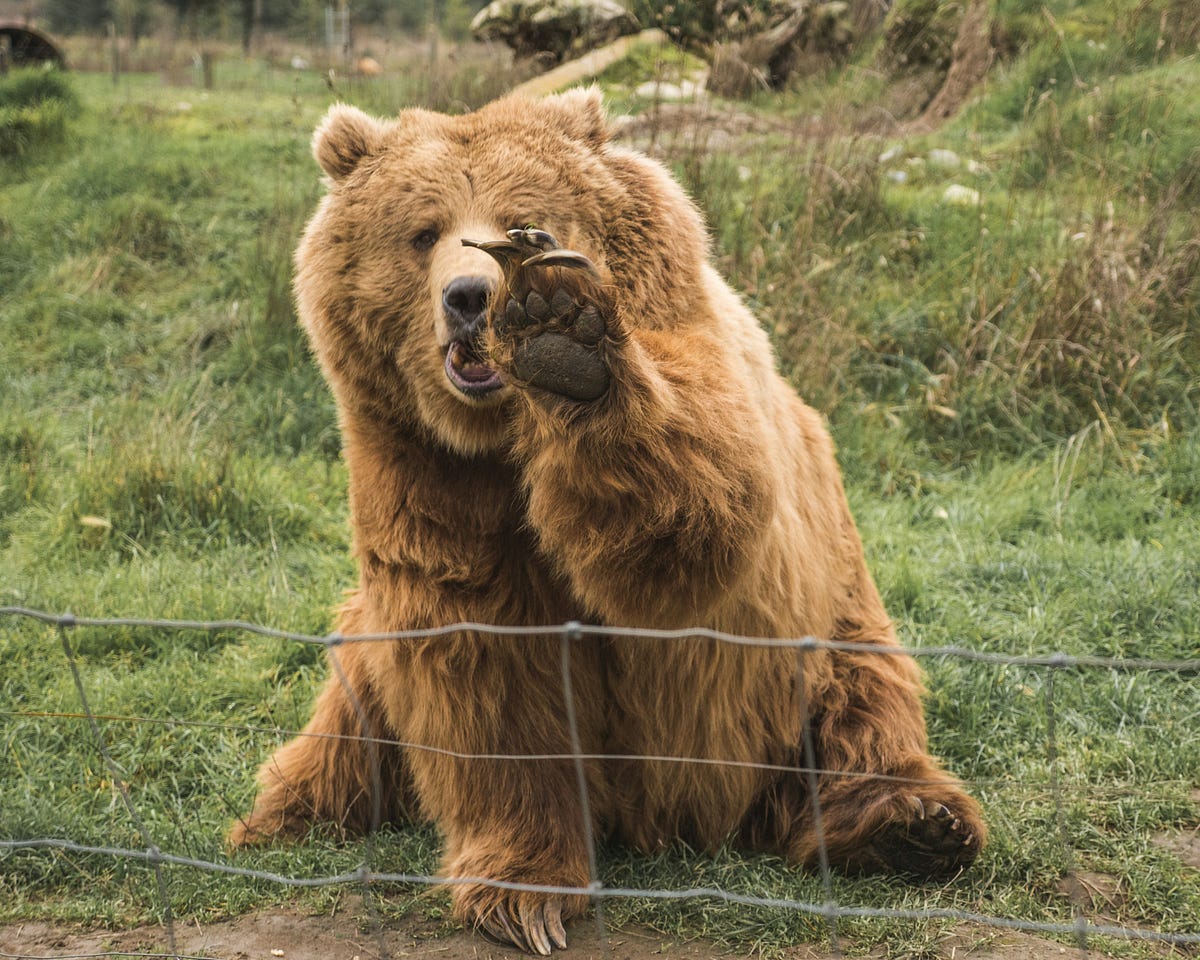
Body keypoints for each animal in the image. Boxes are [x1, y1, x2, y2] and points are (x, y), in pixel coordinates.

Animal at [230, 88, 985, 955]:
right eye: (420, 231)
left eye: (525, 219)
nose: (471, 298)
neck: (504, 441)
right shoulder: (426, 469)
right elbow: (488, 665)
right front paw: (524, 893)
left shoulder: (688, 367)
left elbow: (692, 512)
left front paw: (563, 342)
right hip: (367, 655)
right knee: (352, 711)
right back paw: (287, 812)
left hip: (820, 630)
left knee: (860, 705)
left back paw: (909, 824)